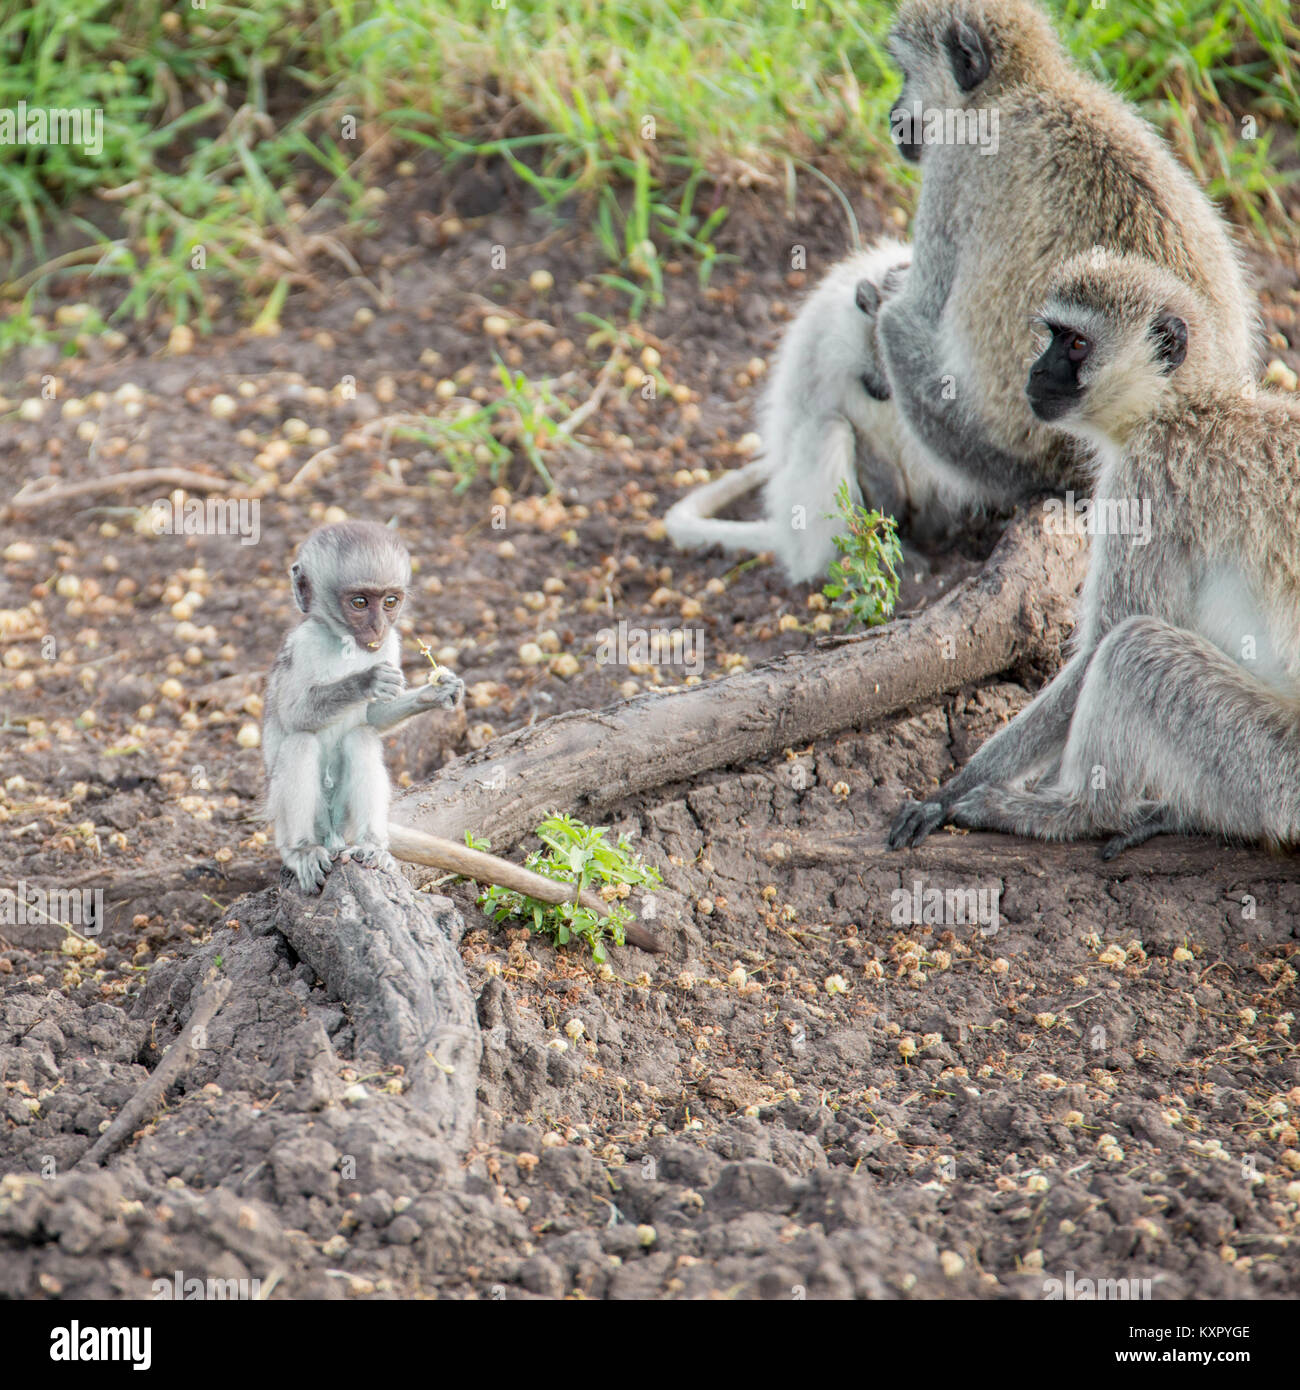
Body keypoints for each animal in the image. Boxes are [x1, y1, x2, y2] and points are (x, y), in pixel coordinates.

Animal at [875, 0, 1258, 509]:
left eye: (904, 72)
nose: (893, 114)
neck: (1021, 86)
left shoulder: (952, 166)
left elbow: (920, 306)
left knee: (894, 324)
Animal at [890, 248, 1300, 858]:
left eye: (1077, 344)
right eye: (1052, 336)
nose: (1035, 372)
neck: (1185, 404)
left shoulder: (1148, 479)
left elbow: (1098, 648)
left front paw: (952, 791)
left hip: (1274, 767)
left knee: (1133, 651)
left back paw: (1076, 813)